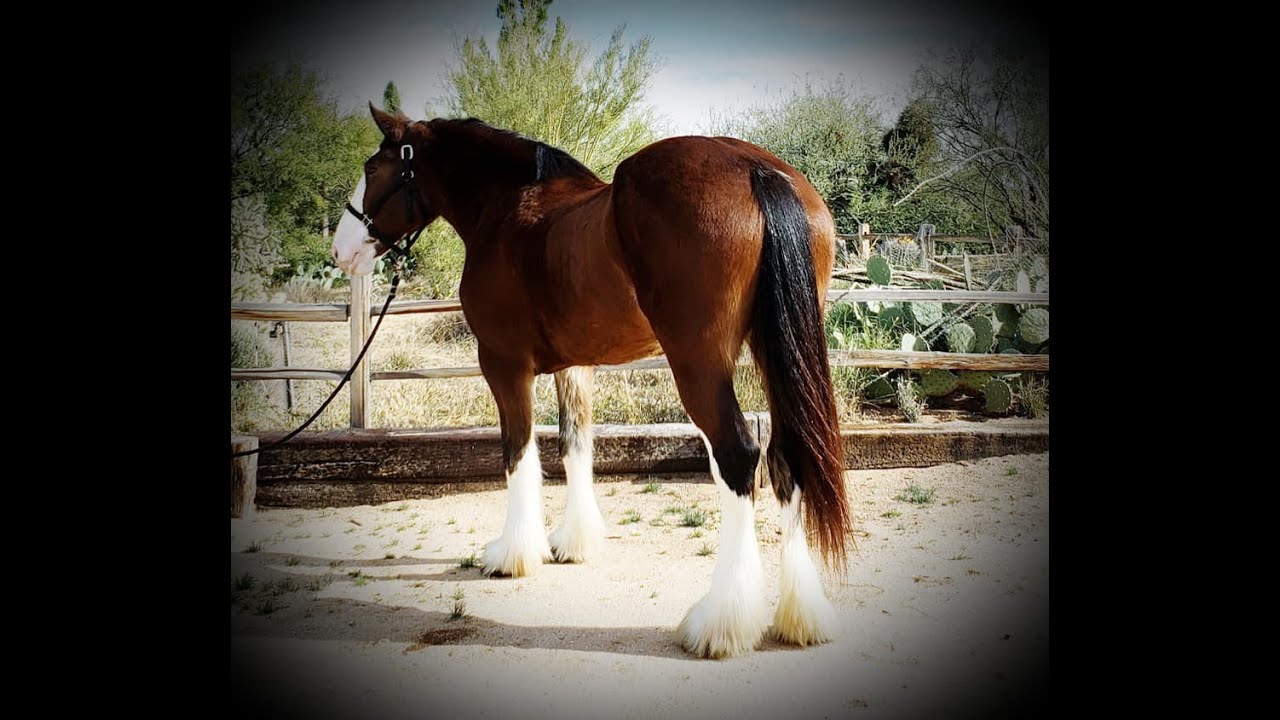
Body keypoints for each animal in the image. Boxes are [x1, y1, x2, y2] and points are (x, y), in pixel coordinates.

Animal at [332, 105, 851, 659]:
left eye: (372, 168)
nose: (340, 250)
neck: (506, 211)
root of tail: (755, 169)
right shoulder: (575, 366)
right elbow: (574, 445)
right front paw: (573, 542)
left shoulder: (503, 364)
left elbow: (517, 451)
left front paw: (513, 553)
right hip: (776, 351)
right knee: (786, 458)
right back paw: (800, 616)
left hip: (700, 364)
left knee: (739, 457)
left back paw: (721, 624)